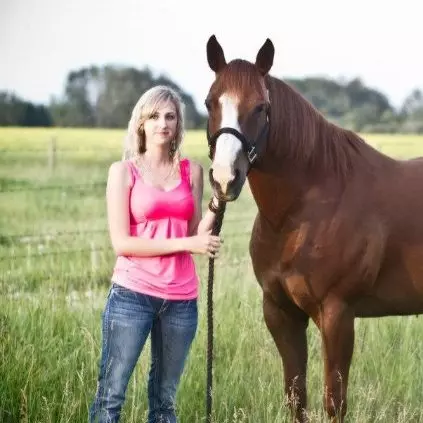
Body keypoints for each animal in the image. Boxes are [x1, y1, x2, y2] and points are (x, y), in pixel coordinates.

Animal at [207, 34, 423, 422]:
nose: (225, 178)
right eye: (208, 103)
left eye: (261, 107)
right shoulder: (281, 313)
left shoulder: (337, 314)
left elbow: (334, 401)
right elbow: (296, 396)